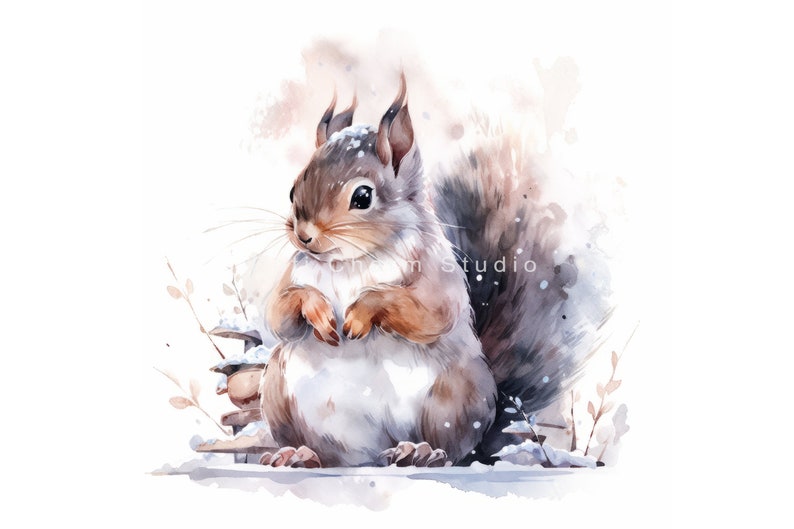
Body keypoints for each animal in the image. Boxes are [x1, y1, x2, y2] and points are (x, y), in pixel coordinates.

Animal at [259, 73, 611, 468]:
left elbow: (429, 311)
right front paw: (317, 310)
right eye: (292, 190)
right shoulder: (292, 276)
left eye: (362, 197)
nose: (304, 235)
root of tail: (366, 456)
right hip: (278, 392)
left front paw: (361, 312)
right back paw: (298, 454)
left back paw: (418, 451)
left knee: (451, 450)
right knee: (324, 453)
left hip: (452, 397)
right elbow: (279, 313)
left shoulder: (436, 274)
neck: (349, 260)